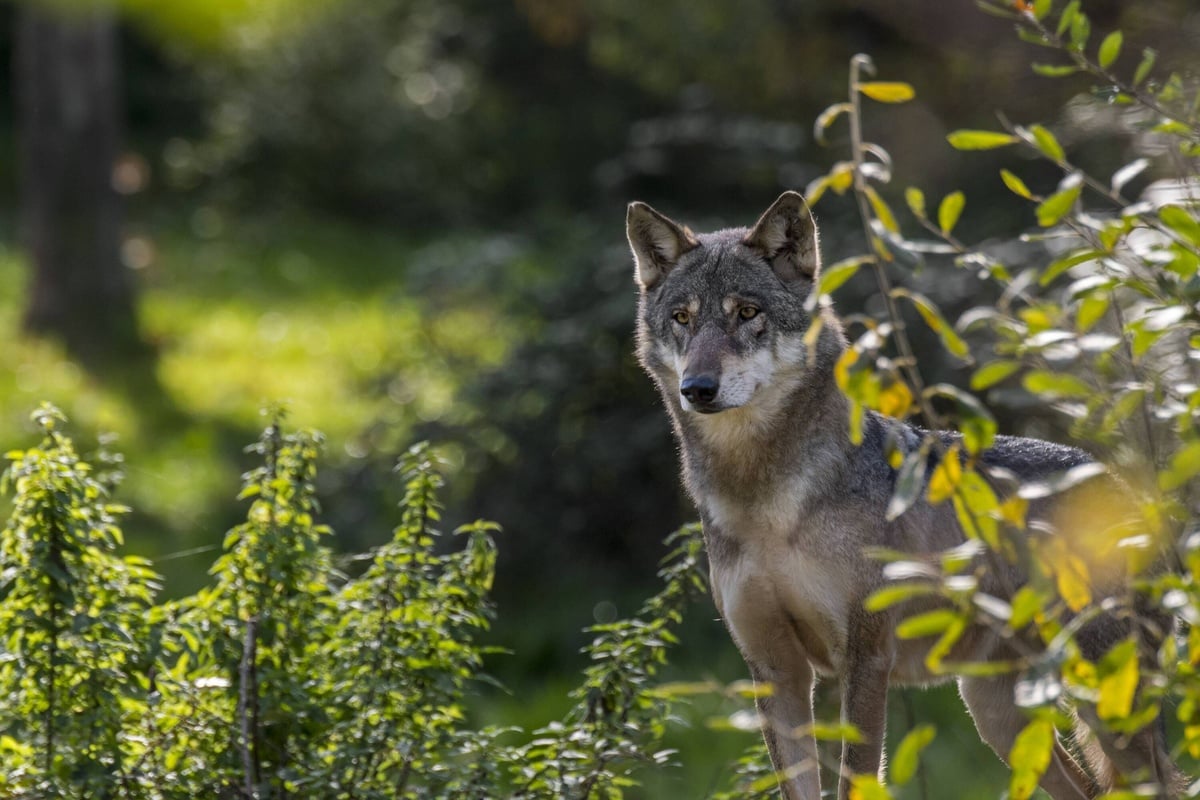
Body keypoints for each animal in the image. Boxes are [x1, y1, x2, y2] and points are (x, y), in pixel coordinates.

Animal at [627, 192, 1182, 800]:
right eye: (682, 318)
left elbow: (854, 779)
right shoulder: (776, 672)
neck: (764, 501)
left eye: (747, 313)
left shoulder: (866, 660)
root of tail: (1128, 489)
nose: (697, 389)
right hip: (998, 718)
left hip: (1109, 714)